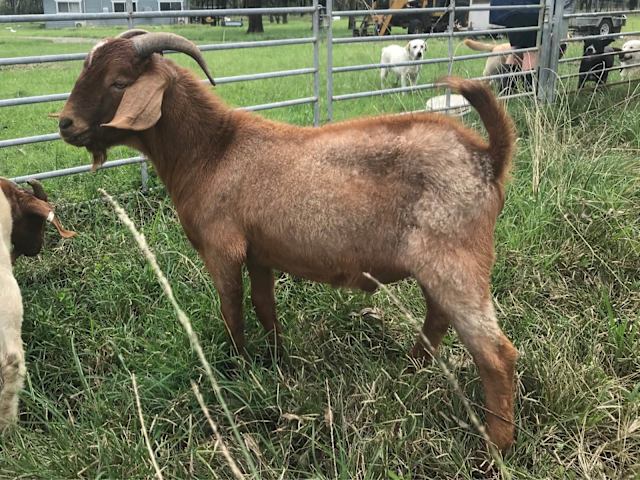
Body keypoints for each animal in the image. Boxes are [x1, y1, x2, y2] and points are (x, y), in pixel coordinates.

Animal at [59, 31, 518, 453]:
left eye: (119, 82)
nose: (65, 124)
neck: (213, 152)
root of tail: (488, 156)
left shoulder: (222, 248)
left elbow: (232, 309)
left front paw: (237, 370)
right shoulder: (259, 251)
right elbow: (264, 304)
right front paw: (279, 360)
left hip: (454, 257)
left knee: (494, 353)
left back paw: (495, 446)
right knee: (439, 318)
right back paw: (410, 368)